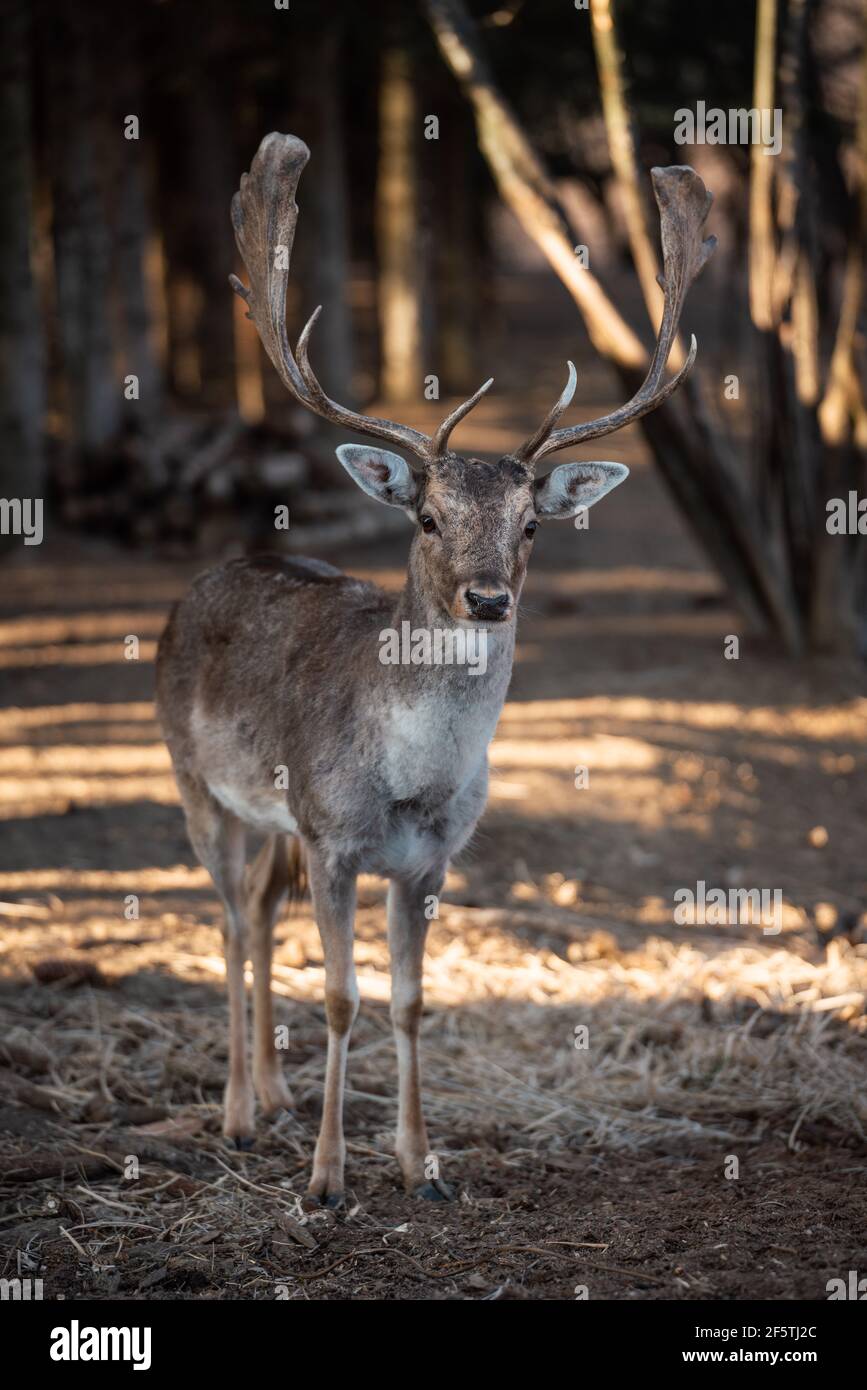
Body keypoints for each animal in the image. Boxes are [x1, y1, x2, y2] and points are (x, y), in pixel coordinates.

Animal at [156, 133, 715, 1205]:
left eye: (532, 524)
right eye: (424, 517)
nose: (487, 598)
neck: (408, 782)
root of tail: (204, 578)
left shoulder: (431, 861)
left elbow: (413, 1002)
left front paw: (421, 1166)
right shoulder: (333, 838)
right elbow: (341, 997)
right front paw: (328, 1179)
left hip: (271, 818)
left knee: (258, 911)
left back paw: (276, 1097)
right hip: (196, 781)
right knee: (230, 924)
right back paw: (239, 1111)